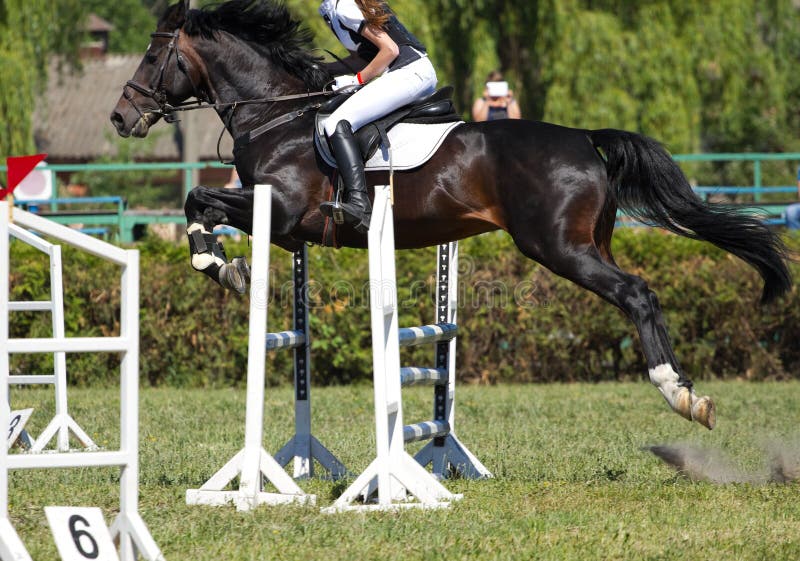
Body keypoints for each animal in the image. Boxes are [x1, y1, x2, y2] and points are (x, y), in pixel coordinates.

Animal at [110, 0, 793, 431]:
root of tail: (582, 138)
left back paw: (679, 394)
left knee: (638, 295)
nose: (121, 117)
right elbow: (200, 204)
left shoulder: (280, 213)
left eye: (151, 56)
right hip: (589, 243)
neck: (279, 112)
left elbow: (200, 202)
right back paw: (688, 394)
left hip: (559, 248)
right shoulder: (278, 225)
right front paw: (223, 265)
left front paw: (219, 266)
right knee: (638, 292)